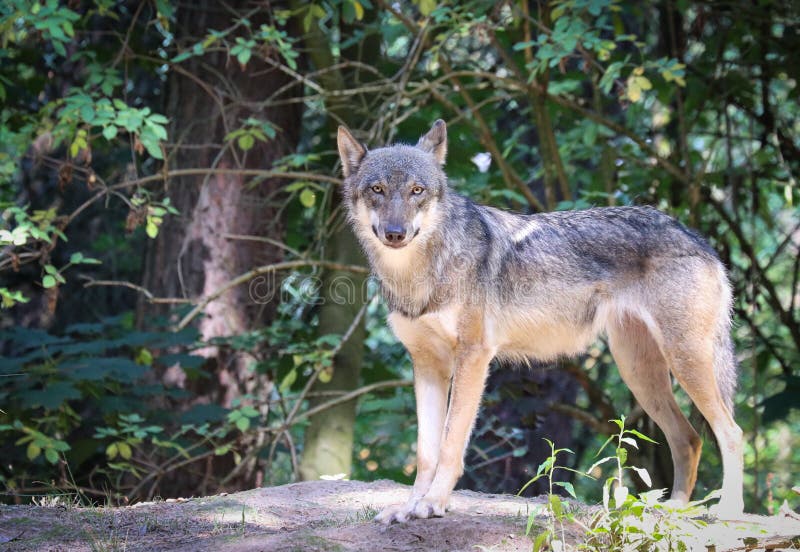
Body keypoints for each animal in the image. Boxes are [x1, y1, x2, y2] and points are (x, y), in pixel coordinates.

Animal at [336, 120, 744, 523]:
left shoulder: (473, 356)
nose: (395, 233)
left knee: (731, 433)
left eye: (416, 191)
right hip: (640, 374)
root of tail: (699, 240)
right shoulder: (427, 364)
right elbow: (425, 452)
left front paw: (433, 503)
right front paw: (410, 506)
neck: (420, 275)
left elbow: (451, 444)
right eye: (377, 189)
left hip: (684, 361)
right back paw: (675, 509)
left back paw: (727, 512)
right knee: (689, 438)